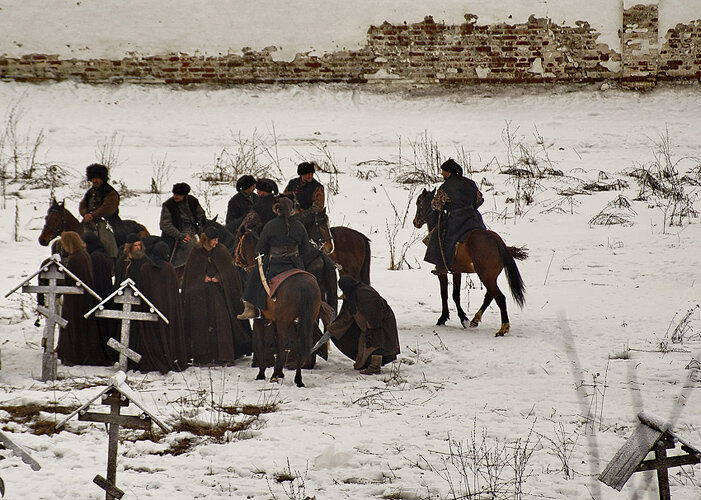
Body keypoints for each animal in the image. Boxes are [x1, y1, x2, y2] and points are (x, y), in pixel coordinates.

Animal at [234, 229, 330, 388]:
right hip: (304, 321)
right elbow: (277, 344)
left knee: (286, 343)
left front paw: (262, 374)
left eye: (239, 243)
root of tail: (304, 286)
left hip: (283, 323)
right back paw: (298, 379)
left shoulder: (260, 320)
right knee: (300, 345)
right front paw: (280, 372)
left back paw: (275, 376)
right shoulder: (276, 321)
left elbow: (261, 345)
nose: (236, 261)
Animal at [410, 188, 524, 336]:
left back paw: (502, 328)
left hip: (486, 276)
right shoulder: (456, 271)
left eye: (419, 203)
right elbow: (455, 294)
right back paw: (476, 319)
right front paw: (460, 318)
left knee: (499, 297)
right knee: (489, 296)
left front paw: (448, 318)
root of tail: (496, 240)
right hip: (490, 276)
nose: (415, 222)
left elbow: (445, 294)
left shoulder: (442, 272)